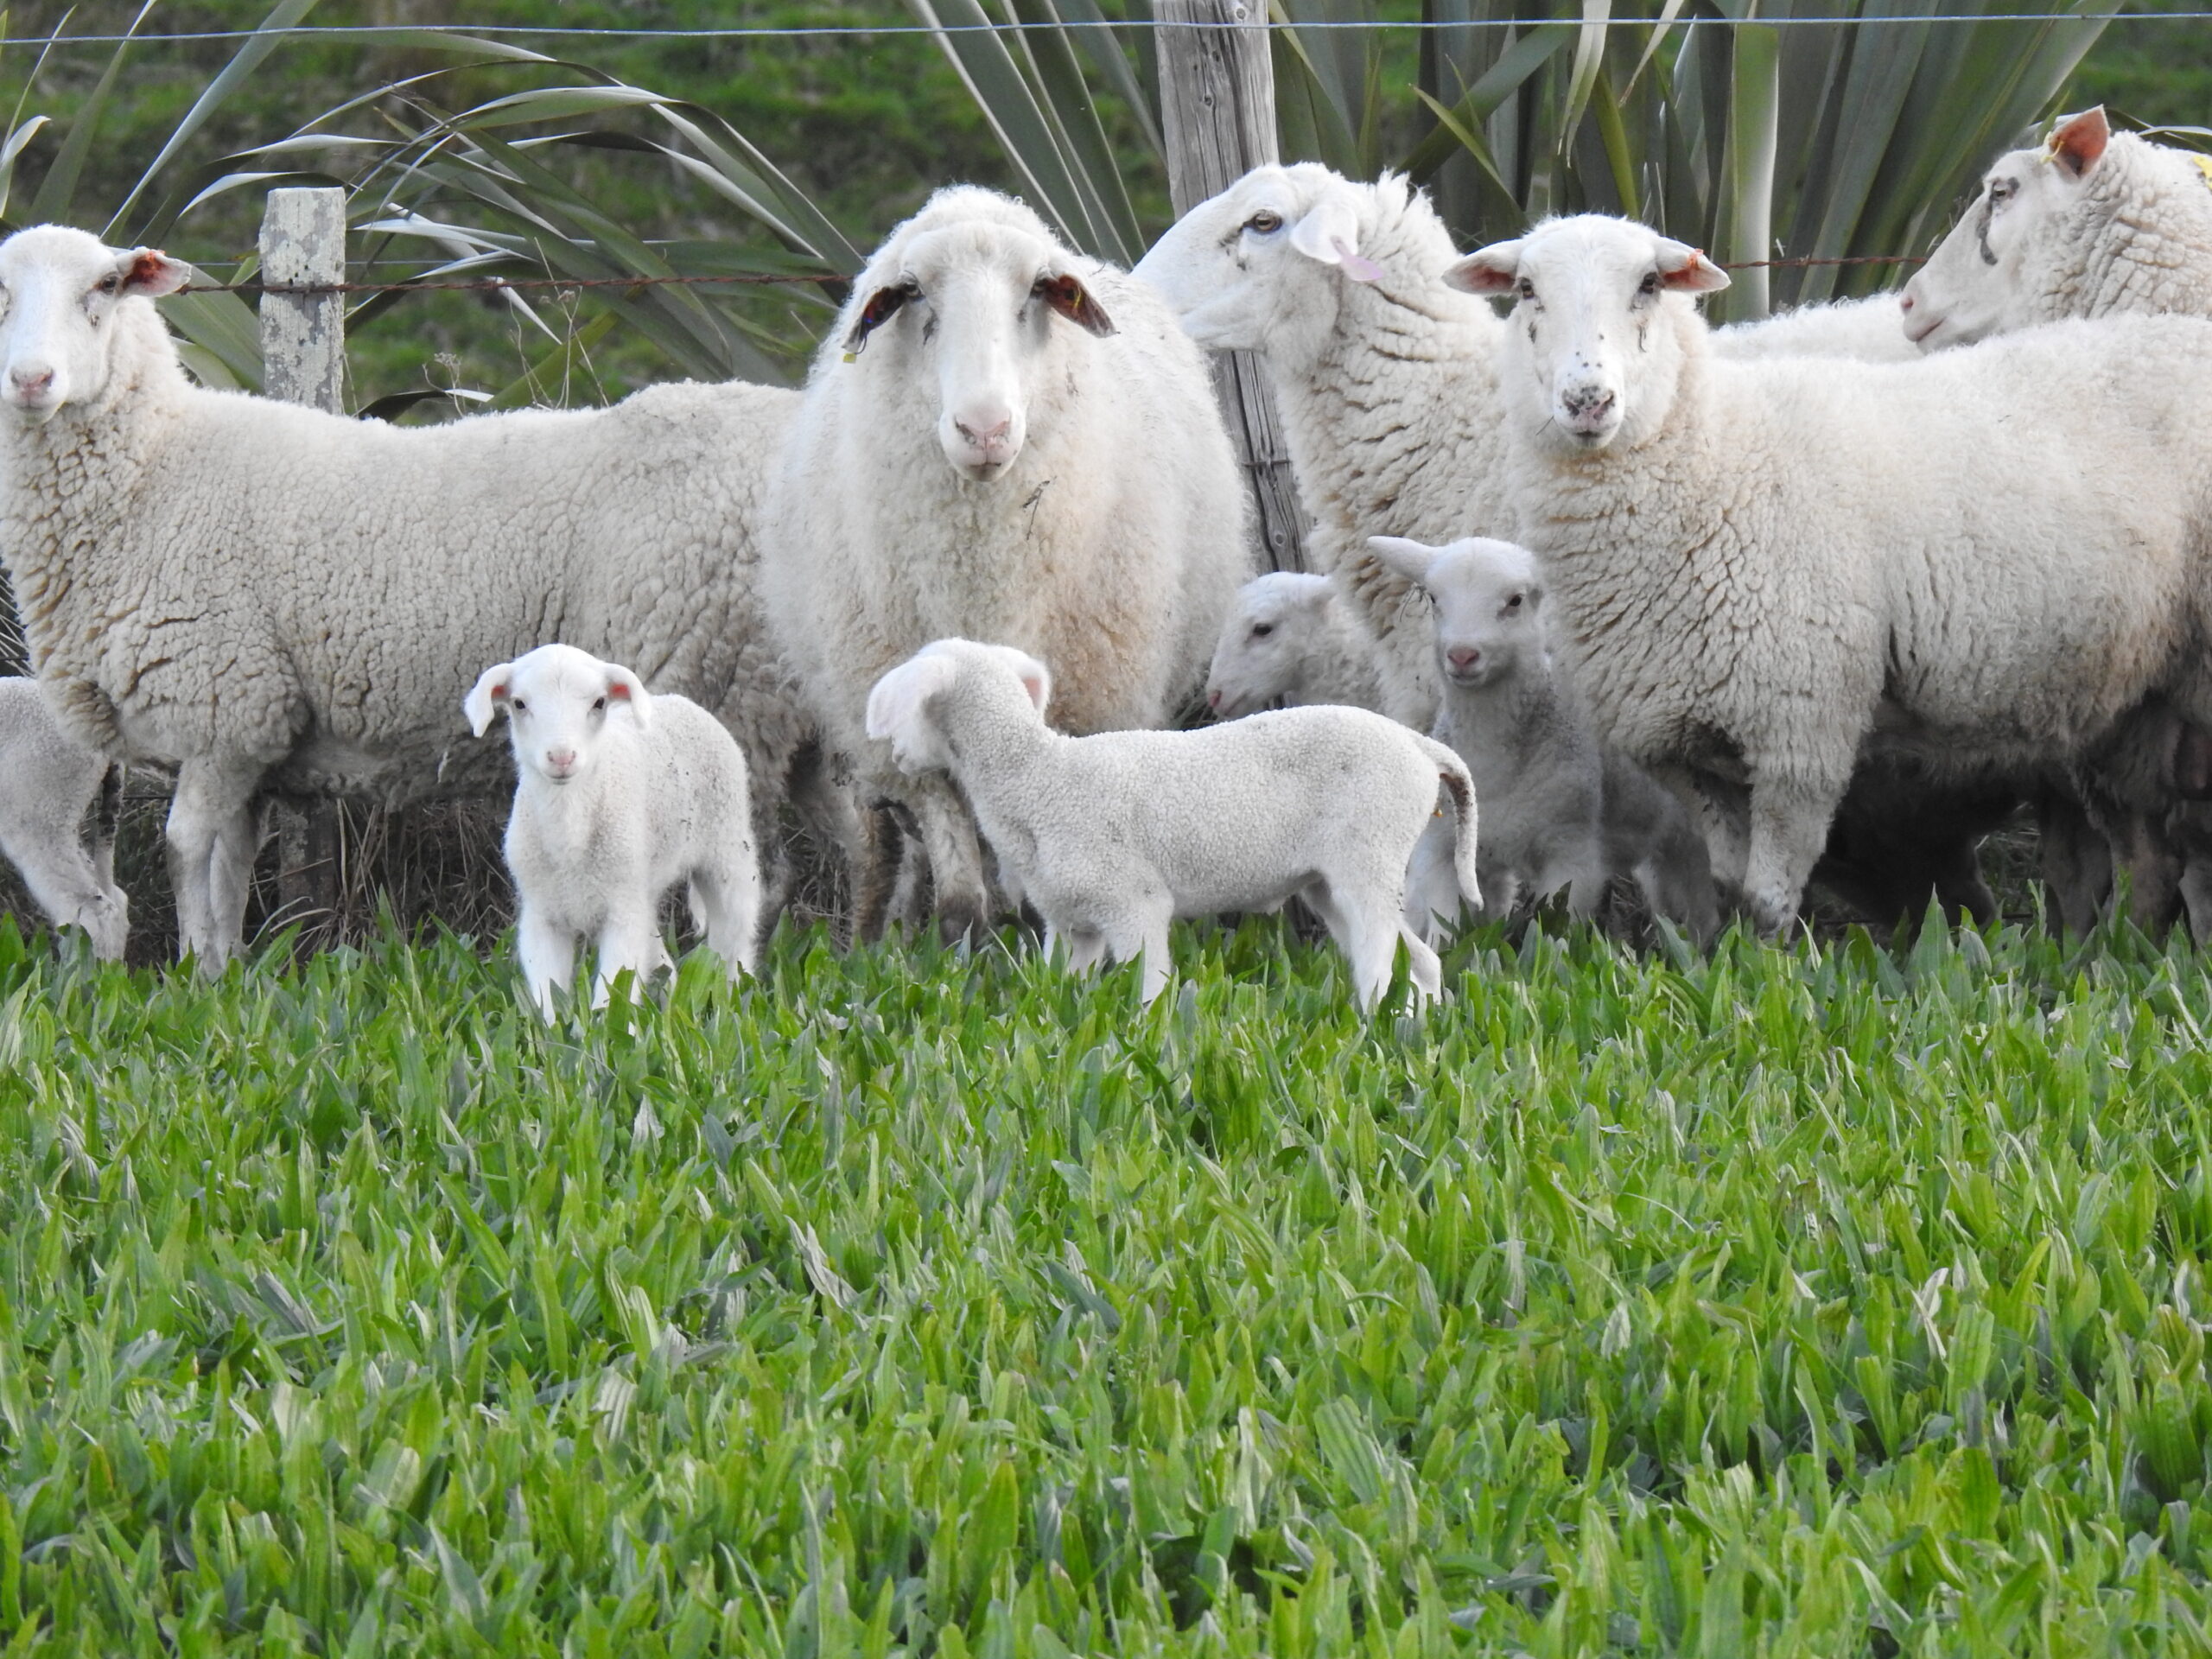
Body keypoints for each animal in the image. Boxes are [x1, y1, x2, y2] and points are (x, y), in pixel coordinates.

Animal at [464, 644, 759, 1019]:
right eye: (519, 704)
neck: (570, 841)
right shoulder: (542, 916)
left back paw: (734, 1002)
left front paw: (612, 1030)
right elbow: (550, 1001)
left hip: (728, 845)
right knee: (662, 958)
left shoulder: (621, 915)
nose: (562, 757)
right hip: (640, 888)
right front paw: (553, 1033)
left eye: (599, 702)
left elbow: (613, 997)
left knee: (733, 937)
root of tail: (677, 700)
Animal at [764, 186, 1250, 943]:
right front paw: (964, 943)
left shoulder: (1088, 714)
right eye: (913, 294)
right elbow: (960, 888)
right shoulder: (904, 736)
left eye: (1037, 292)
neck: (981, 579)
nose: (985, 429)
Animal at [864, 638, 1478, 1010]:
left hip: (1368, 852)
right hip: (1332, 880)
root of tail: (1420, 747)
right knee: (1420, 961)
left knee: (1381, 960)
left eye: (914, 707)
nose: (896, 758)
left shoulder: (1133, 903)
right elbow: (1064, 993)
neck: (1039, 777)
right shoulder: (1072, 923)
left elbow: (1151, 993)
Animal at [1366, 535, 1716, 943]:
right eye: (1434, 599)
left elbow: (1557, 935)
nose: (1462, 655)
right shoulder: (1445, 851)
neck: (1495, 764)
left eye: (1515, 600)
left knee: (1700, 906)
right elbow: (1448, 934)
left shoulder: (1571, 852)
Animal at [1444, 213, 2212, 936]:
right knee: (2149, 847)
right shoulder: (1686, 744)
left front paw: (1766, 973)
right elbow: (1727, 889)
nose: (1588, 401)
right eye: (1525, 289)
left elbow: (1764, 902)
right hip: (2132, 691)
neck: (1718, 458)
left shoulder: (1801, 729)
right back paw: (2118, 953)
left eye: (1650, 285)